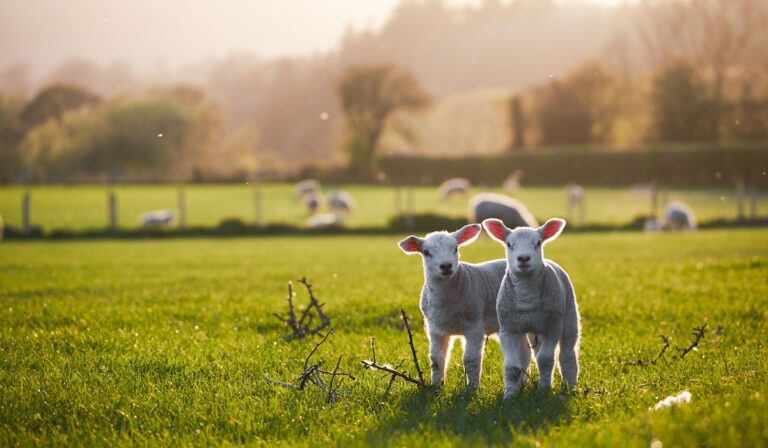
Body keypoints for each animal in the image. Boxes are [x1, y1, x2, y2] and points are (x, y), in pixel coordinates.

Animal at [398, 224, 532, 390]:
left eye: (455, 248)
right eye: (426, 252)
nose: (446, 266)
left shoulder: (474, 323)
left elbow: (471, 359)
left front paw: (471, 389)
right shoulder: (435, 328)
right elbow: (436, 360)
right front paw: (436, 387)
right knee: (525, 353)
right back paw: (524, 382)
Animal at [483, 217, 580, 399]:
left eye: (538, 243)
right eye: (509, 244)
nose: (523, 258)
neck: (526, 298)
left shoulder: (552, 327)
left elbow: (546, 360)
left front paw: (543, 391)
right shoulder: (508, 330)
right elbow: (512, 367)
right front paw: (509, 396)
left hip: (569, 318)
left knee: (567, 355)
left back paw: (570, 387)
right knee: (527, 355)